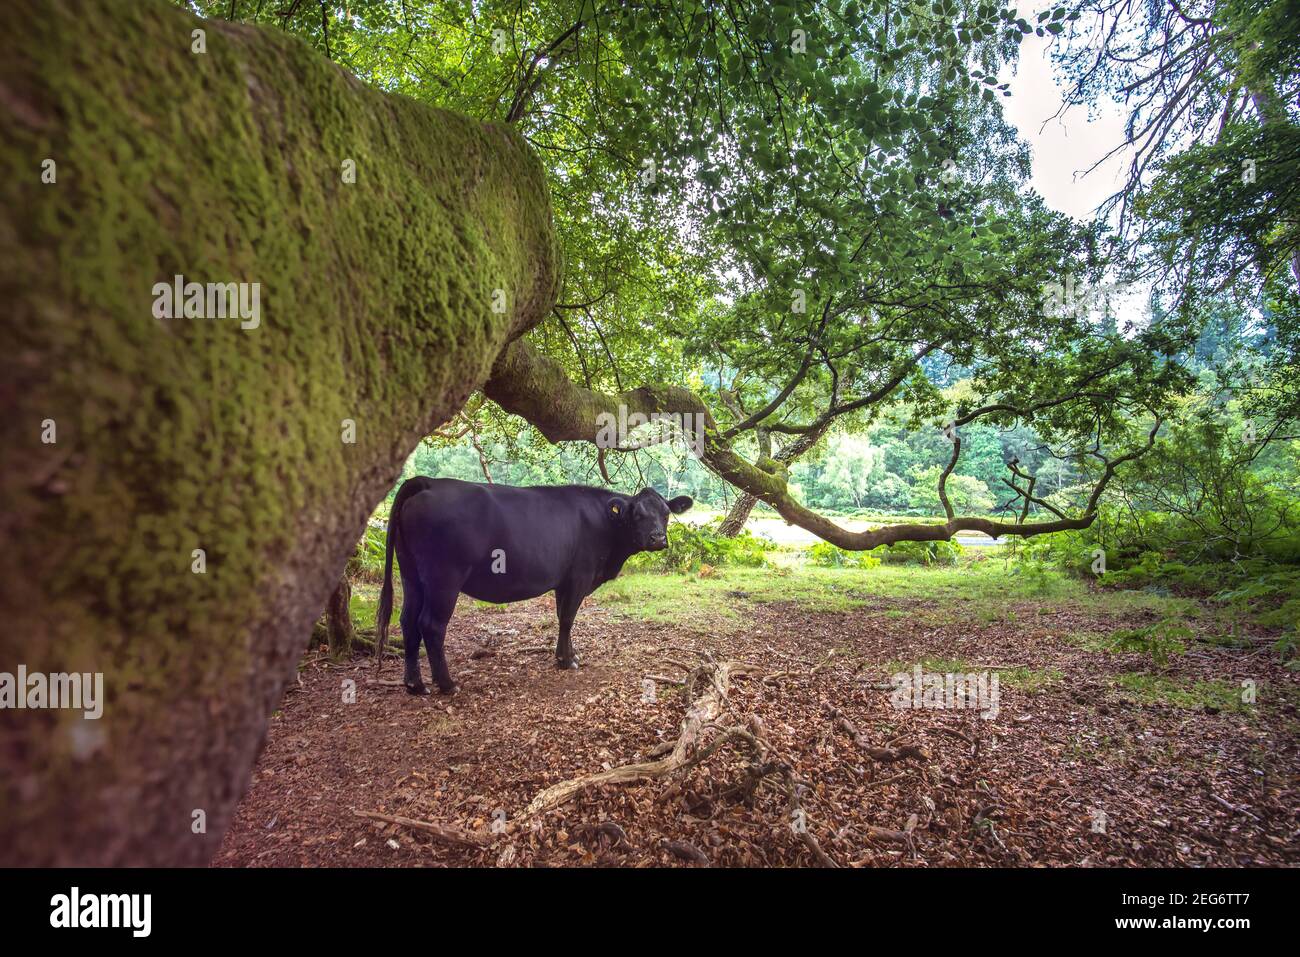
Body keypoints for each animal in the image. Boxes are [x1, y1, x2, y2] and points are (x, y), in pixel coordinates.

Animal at [375, 477, 693, 694]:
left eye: (666, 513)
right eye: (637, 514)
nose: (658, 538)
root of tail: (429, 482)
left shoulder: (563, 581)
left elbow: (562, 616)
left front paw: (568, 654)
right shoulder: (579, 575)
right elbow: (567, 618)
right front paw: (566, 661)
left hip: (411, 575)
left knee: (408, 621)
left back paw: (415, 684)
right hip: (443, 578)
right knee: (431, 624)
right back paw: (447, 683)